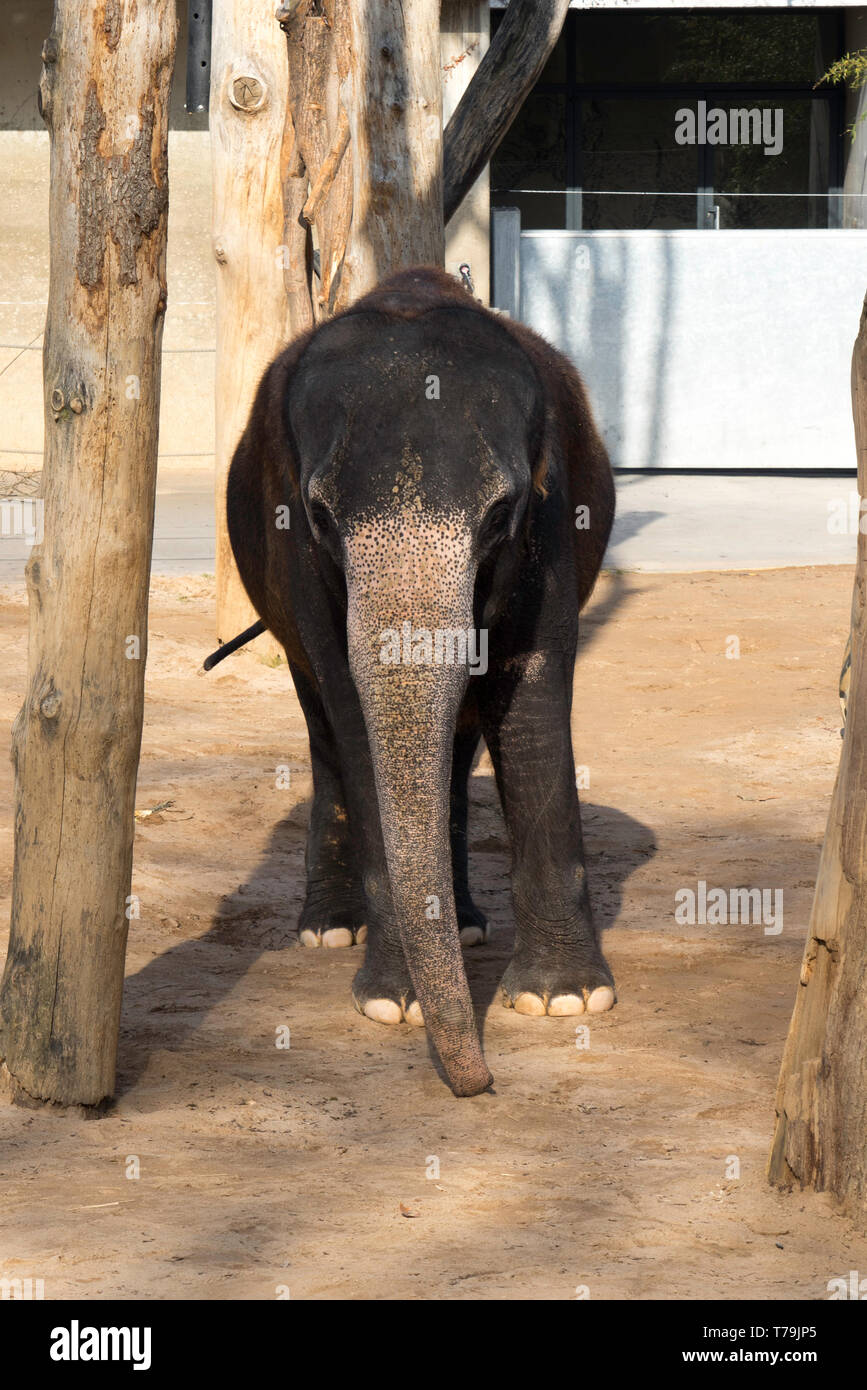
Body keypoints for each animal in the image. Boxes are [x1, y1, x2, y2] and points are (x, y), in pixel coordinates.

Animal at [226, 266, 616, 1097]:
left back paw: (463, 924)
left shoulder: (550, 522)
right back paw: (330, 928)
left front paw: (562, 1000)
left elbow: (530, 695)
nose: (479, 1081)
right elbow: (351, 710)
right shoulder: (297, 552)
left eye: (500, 514)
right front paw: (393, 1005)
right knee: (321, 726)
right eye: (318, 515)